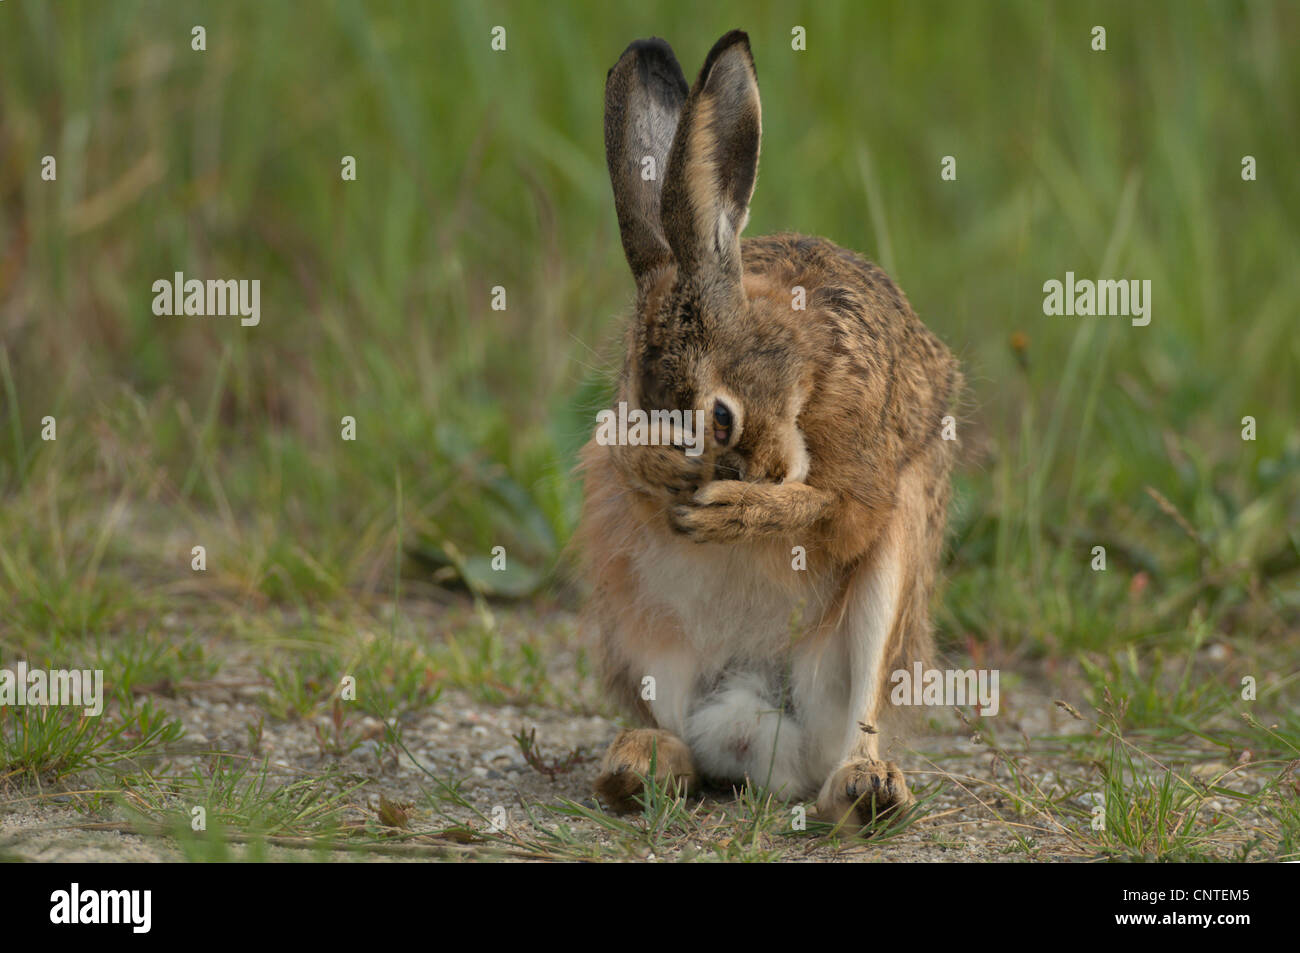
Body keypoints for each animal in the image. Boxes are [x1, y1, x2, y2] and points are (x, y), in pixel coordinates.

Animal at [575, 29, 961, 831]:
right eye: (642, 401)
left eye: (722, 415)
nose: (756, 474)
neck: (795, 356)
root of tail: (754, 721)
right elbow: (623, 456)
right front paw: (660, 470)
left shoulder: (867, 464)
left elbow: (838, 514)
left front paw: (740, 511)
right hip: (636, 613)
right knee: (677, 731)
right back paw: (639, 763)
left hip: (889, 592)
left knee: (853, 731)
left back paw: (867, 787)